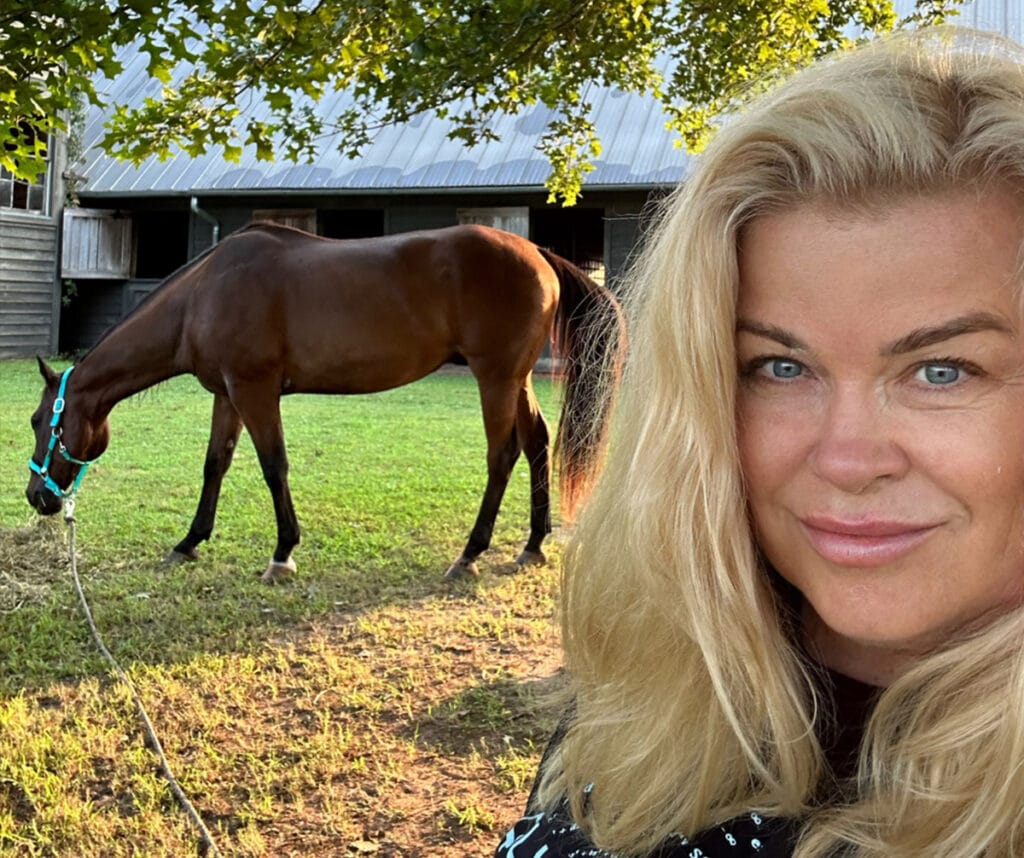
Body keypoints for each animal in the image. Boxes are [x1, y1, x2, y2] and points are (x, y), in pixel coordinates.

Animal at [26, 222, 625, 582]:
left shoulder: (255, 390)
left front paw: (282, 554)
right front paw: (189, 541)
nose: (38, 497)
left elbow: (274, 466)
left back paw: (470, 553)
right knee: (537, 443)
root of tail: (537, 253)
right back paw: (533, 543)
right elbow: (215, 464)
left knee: (502, 455)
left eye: (38, 421)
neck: (203, 293)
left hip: (495, 377)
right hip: (514, 379)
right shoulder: (227, 395)